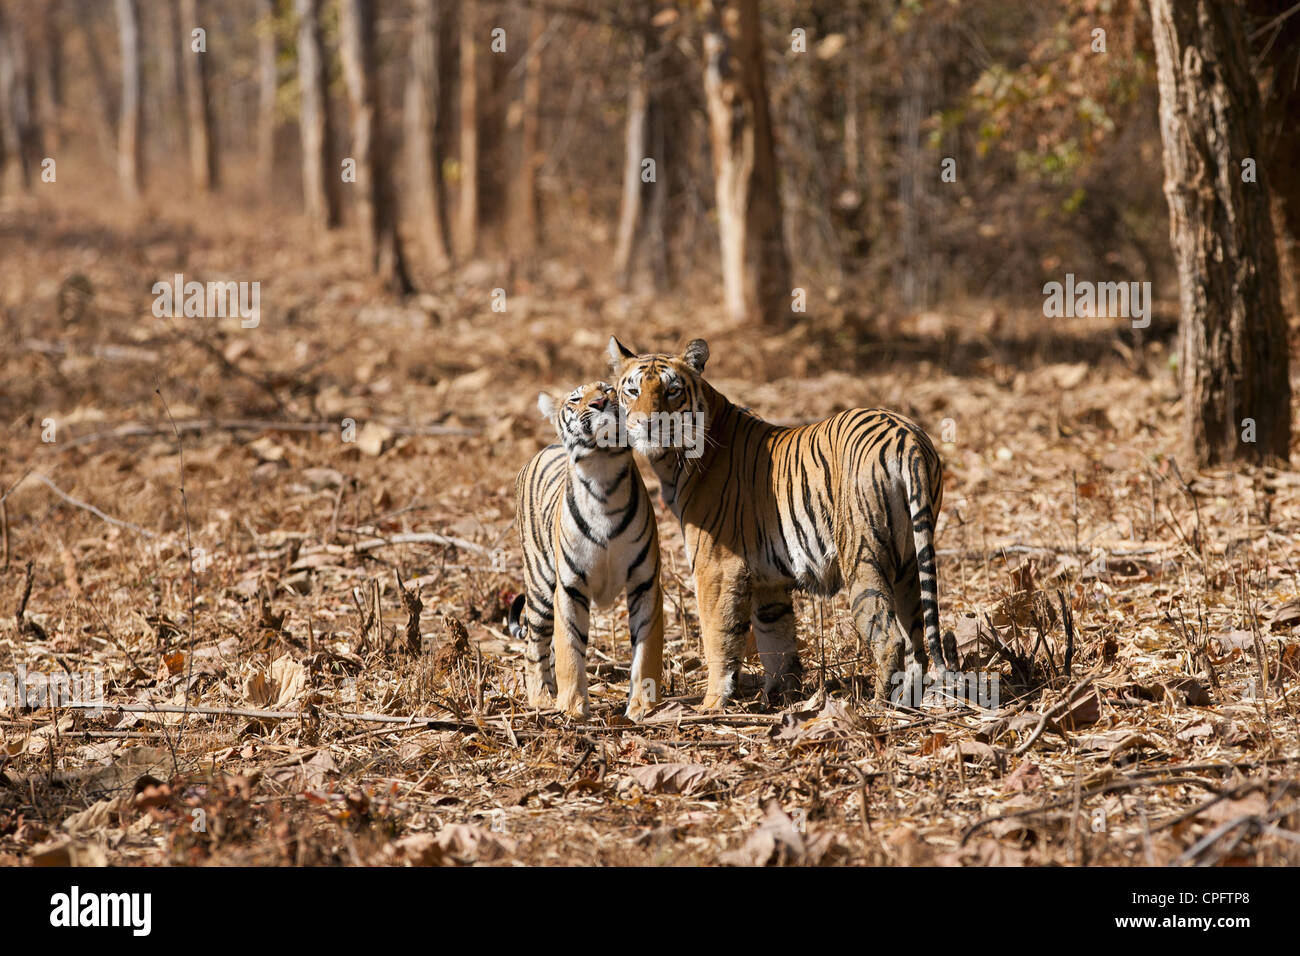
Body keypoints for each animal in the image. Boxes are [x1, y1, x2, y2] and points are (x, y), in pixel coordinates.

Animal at [507, 380, 665, 720]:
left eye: (608, 389)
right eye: (576, 399)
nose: (599, 402)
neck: (603, 470)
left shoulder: (645, 583)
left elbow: (646, 649)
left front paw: (642, 707)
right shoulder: (570, 586)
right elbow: (569, 647)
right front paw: (571, 707)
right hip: (540, 587)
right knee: (534, 647)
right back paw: (541, 699)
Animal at [607, 336, 954, 710]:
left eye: (672, 390)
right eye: (632, 390)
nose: (647, 423)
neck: (674, 461)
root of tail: (907, 437)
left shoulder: (716, 569)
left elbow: (718, 638)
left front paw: (713, 704)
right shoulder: (767, 580)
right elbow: (777, 644)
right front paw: (779, 698)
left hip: (863, 555)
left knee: (890, 637)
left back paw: (878, 705)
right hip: (909, 562)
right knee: (917, 639)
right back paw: (907, 701)